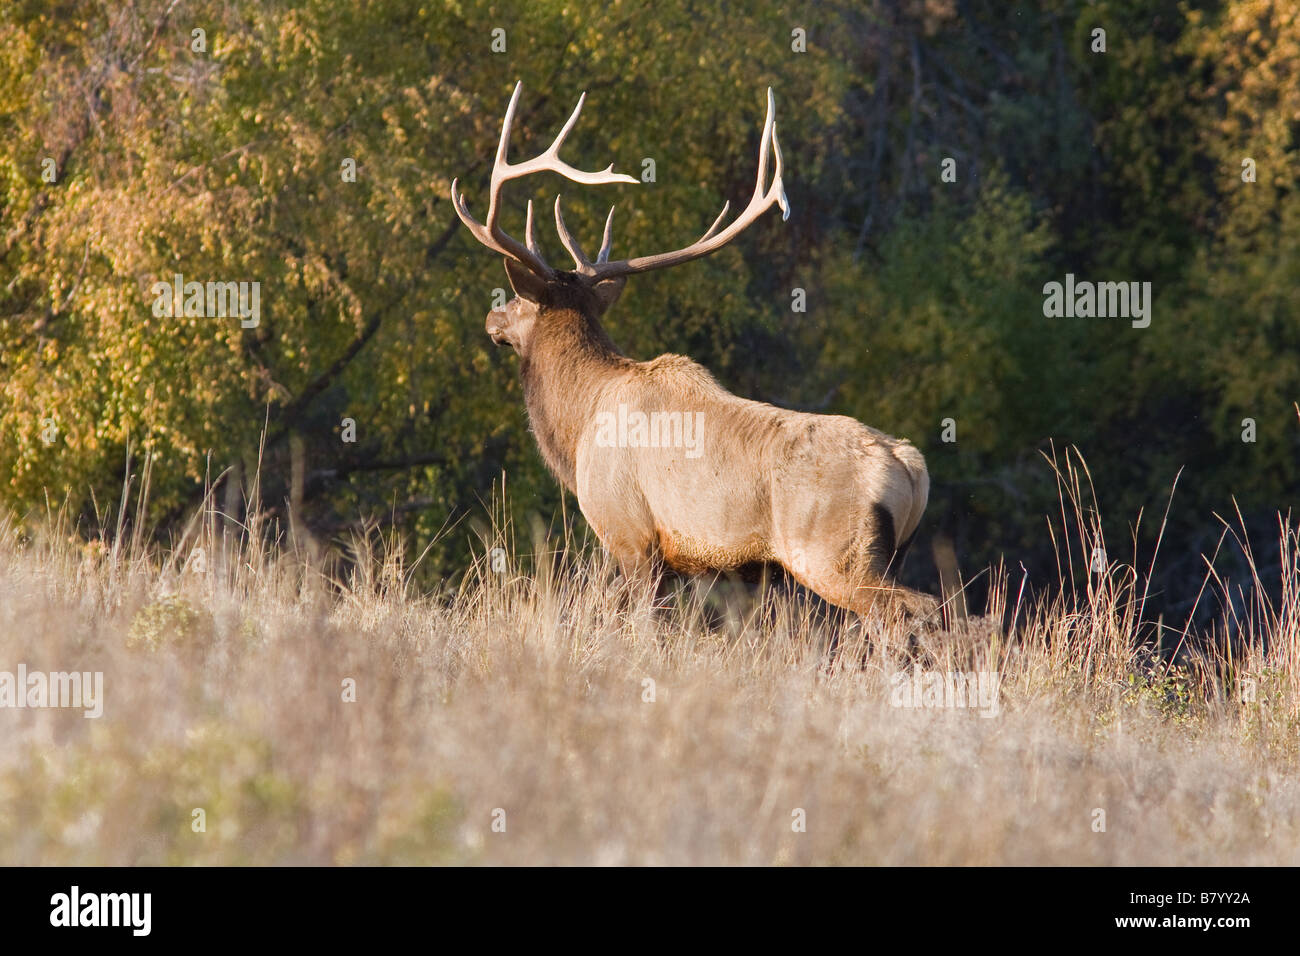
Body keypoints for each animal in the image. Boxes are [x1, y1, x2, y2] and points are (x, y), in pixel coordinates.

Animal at [452, 82, 939, 623]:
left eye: (519, 301)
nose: (491, 317)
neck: (578, 426)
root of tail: (910, 468)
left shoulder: (630, 534)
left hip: (836, 554)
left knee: (915, 608)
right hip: (890, 553)